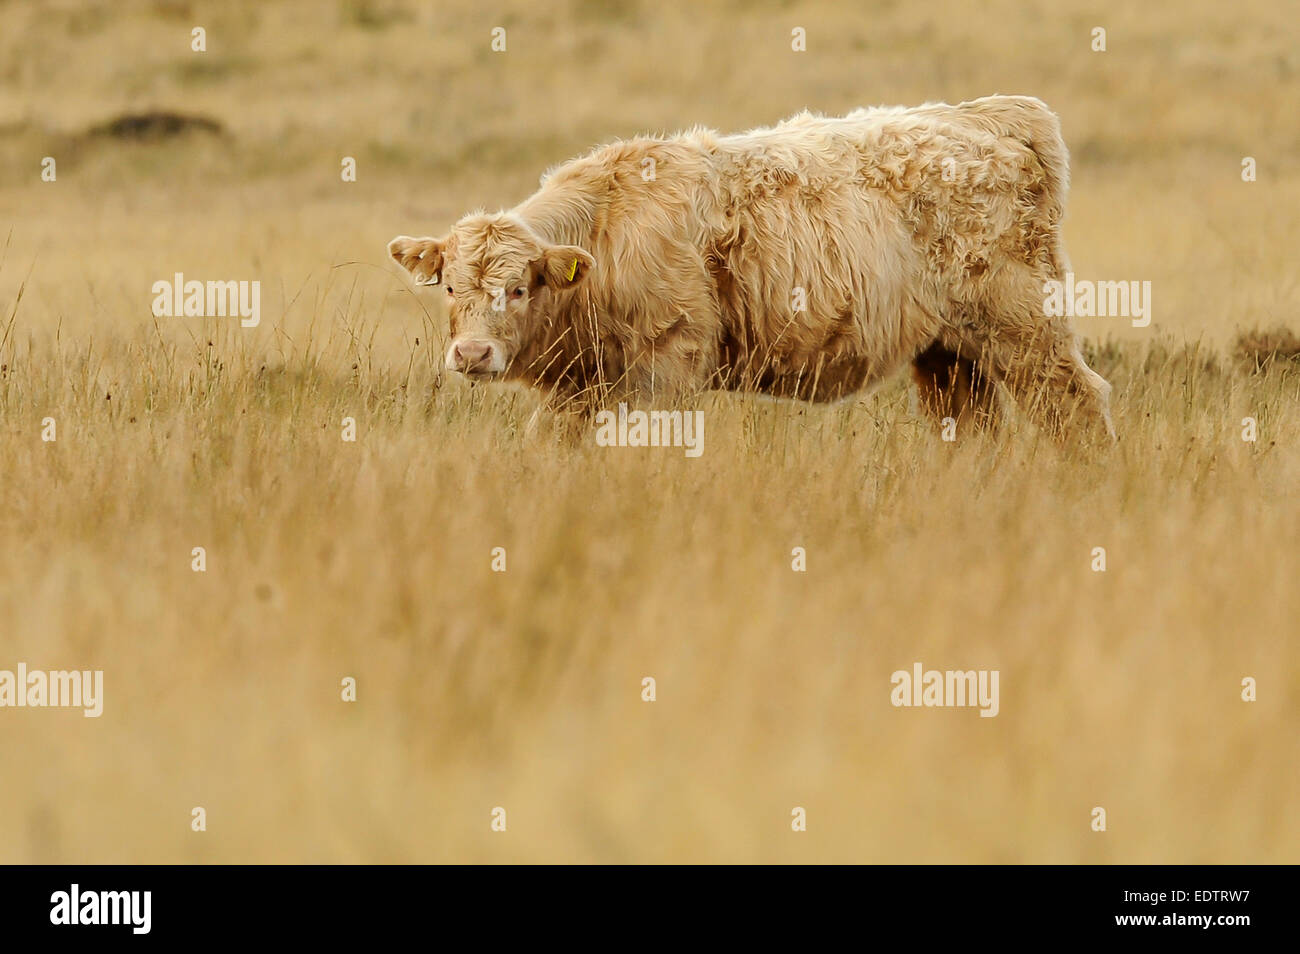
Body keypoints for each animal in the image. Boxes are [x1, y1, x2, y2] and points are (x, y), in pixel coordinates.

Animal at [389, 95, 1114, 440]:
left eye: (517, 288)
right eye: (449, 287)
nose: (472, 354)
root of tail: (988, 116)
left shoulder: (664, 369)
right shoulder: (580, 387)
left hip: (1026, 329)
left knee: (1077, 403)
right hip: (948, 354)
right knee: (972, 426)